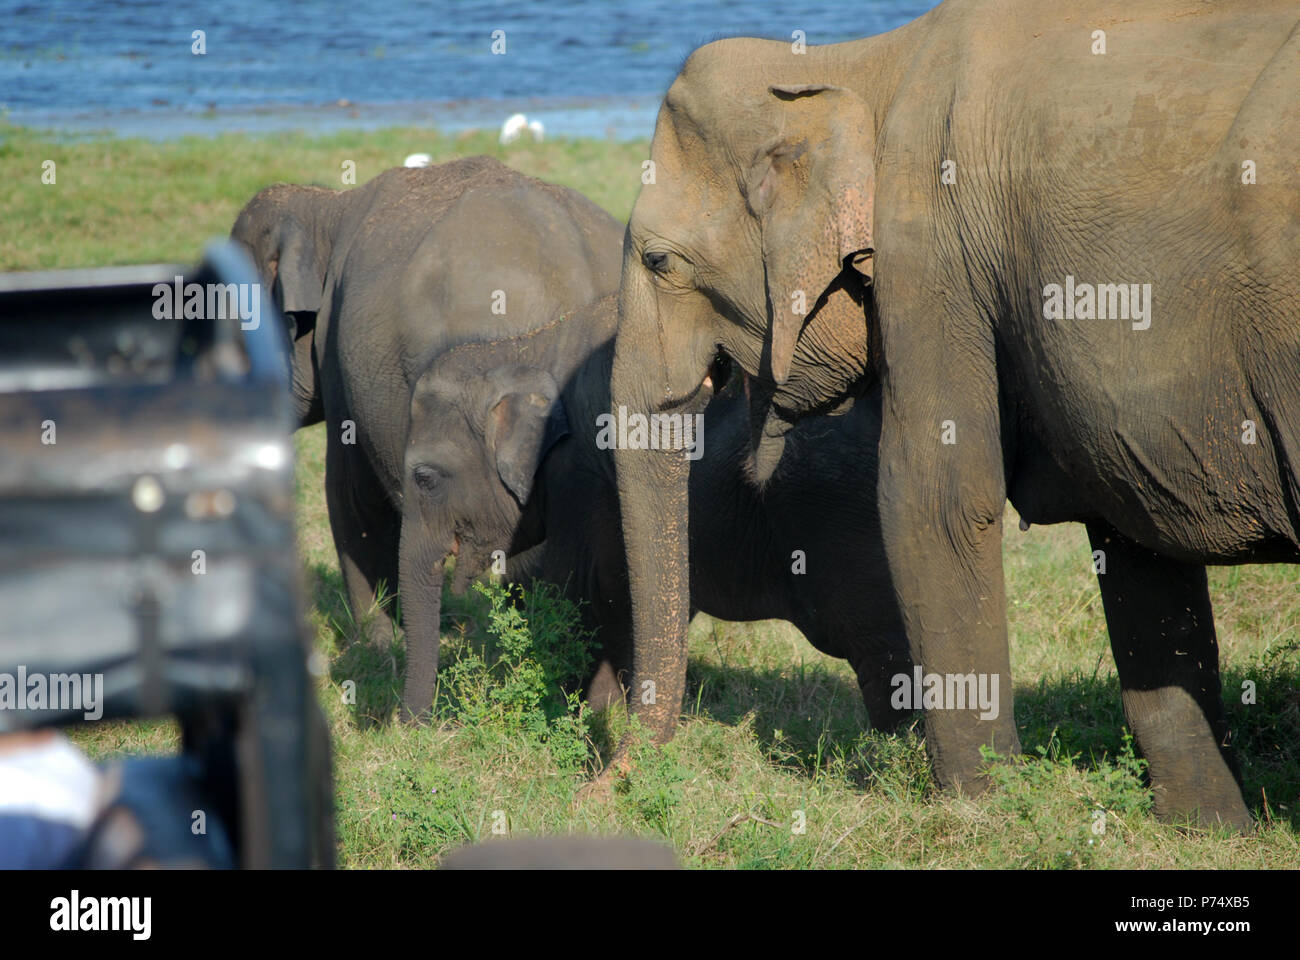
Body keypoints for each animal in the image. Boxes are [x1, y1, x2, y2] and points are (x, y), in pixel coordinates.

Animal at [403, 293, 914, 734]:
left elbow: (576, 594)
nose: (417, 731)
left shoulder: (578, 475)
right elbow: (623, 602)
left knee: (880, 650)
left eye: (425, 478)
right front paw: (604, 714)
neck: (526, 344)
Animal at [608, 0, 1299, 829]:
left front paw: (980, 814)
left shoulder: (932, 251)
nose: (605, 783)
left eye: (659, 263)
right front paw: (1207, 828)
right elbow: (1133, 523)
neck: (861, 63)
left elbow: (931, 501)